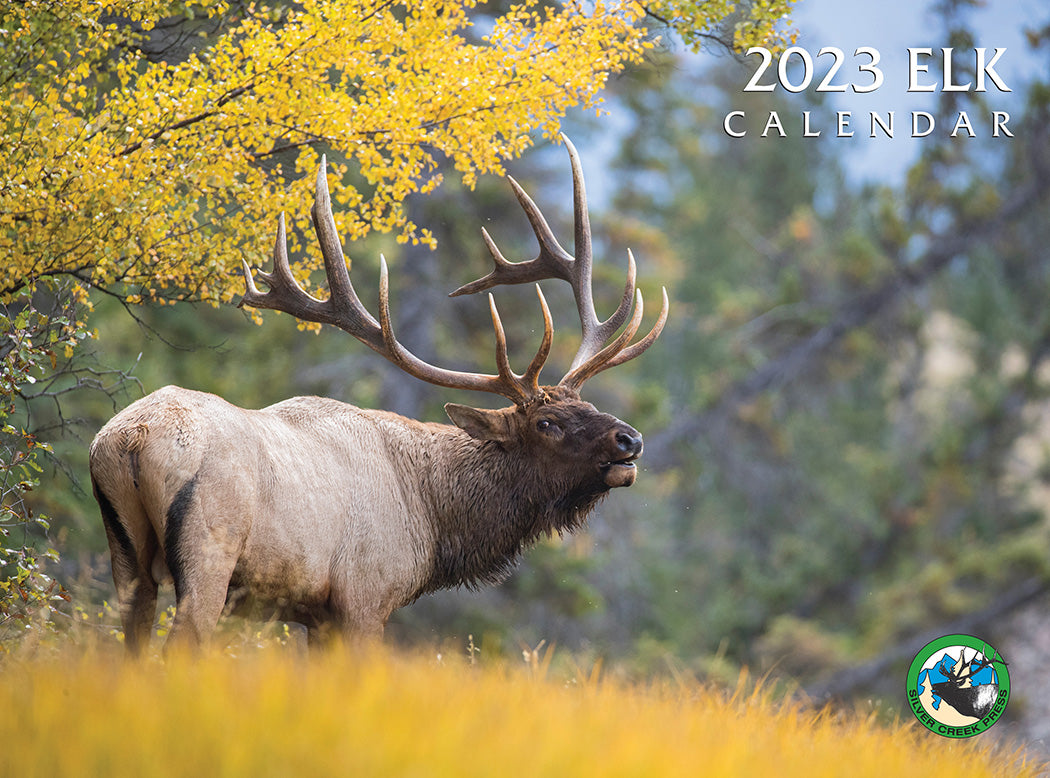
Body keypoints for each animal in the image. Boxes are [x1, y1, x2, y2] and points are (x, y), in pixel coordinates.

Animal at [89, 136, 668, 655]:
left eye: (588, 406)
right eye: (547, 424)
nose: (630, 440)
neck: (434, 520)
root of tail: (129, 440)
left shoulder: (316, 613)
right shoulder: (363, 596)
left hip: (126, 558)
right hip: (209, 550)